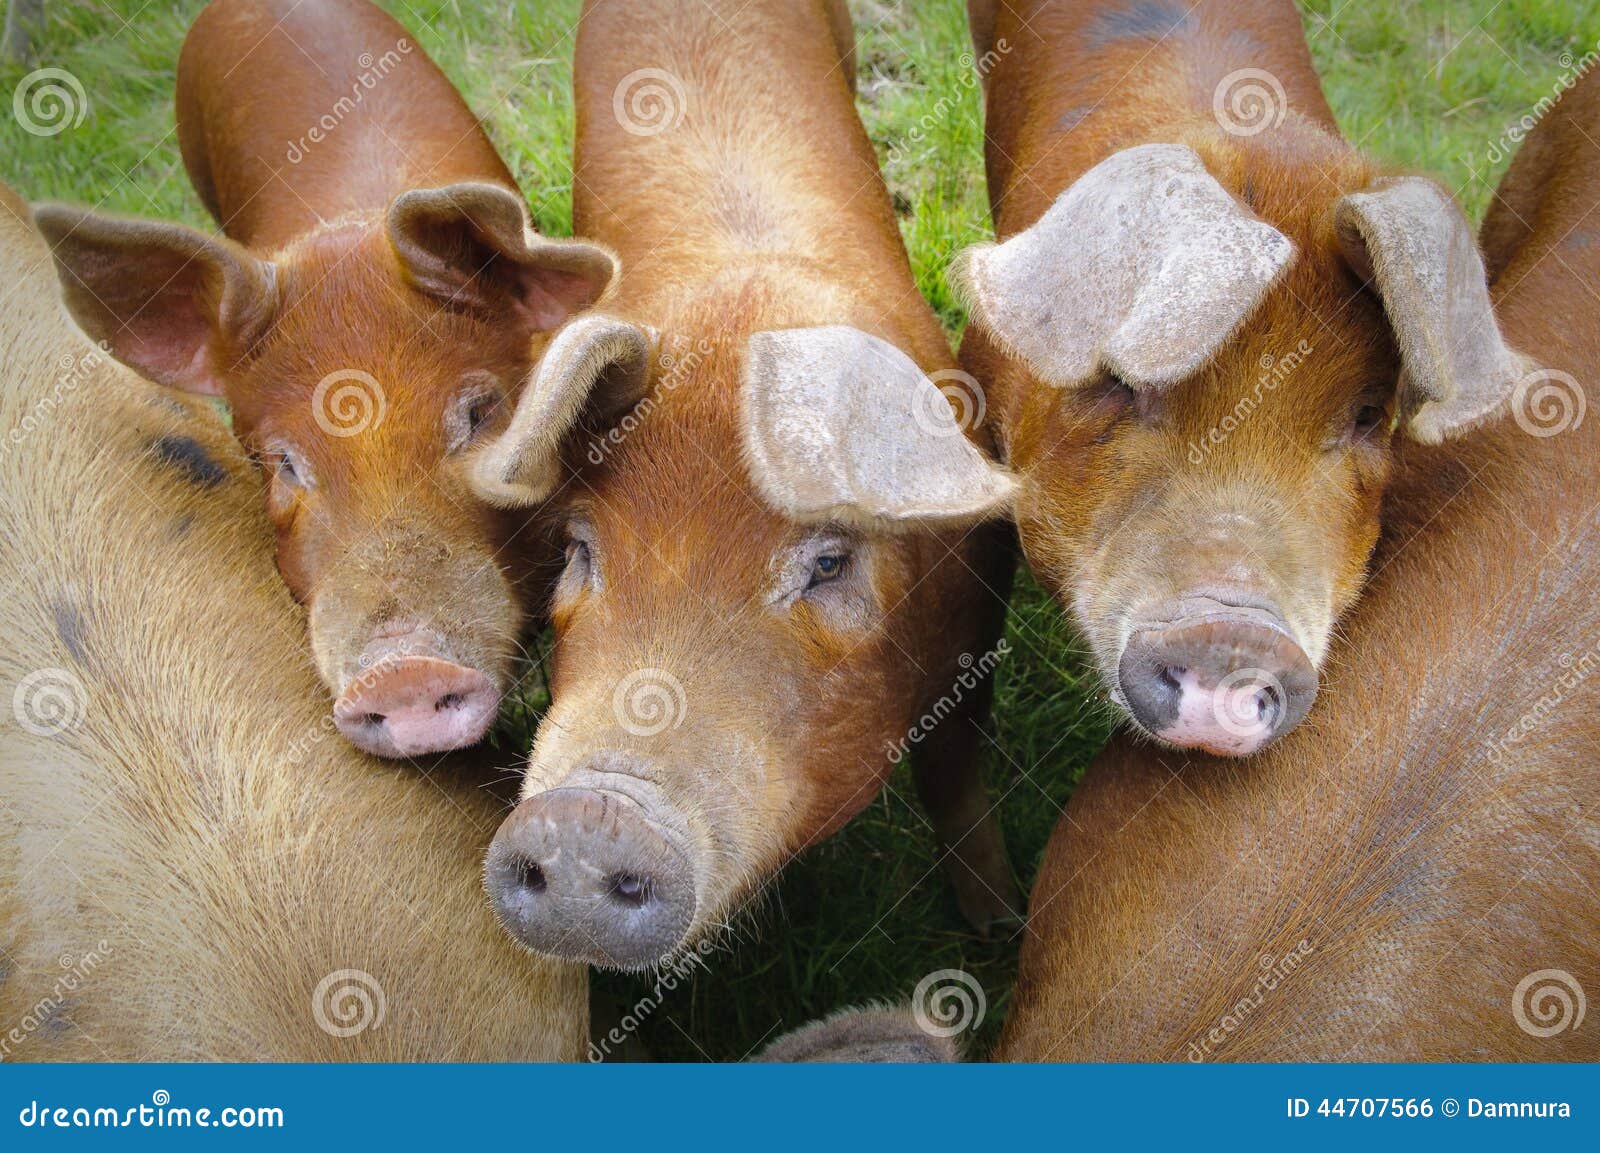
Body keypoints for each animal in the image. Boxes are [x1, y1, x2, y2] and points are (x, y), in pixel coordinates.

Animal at [470, 0, 1023, 969]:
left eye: (829, 562)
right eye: (579, 548)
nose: (589, 818)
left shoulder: (978, 616)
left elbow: (955, 768)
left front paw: (998, 927)